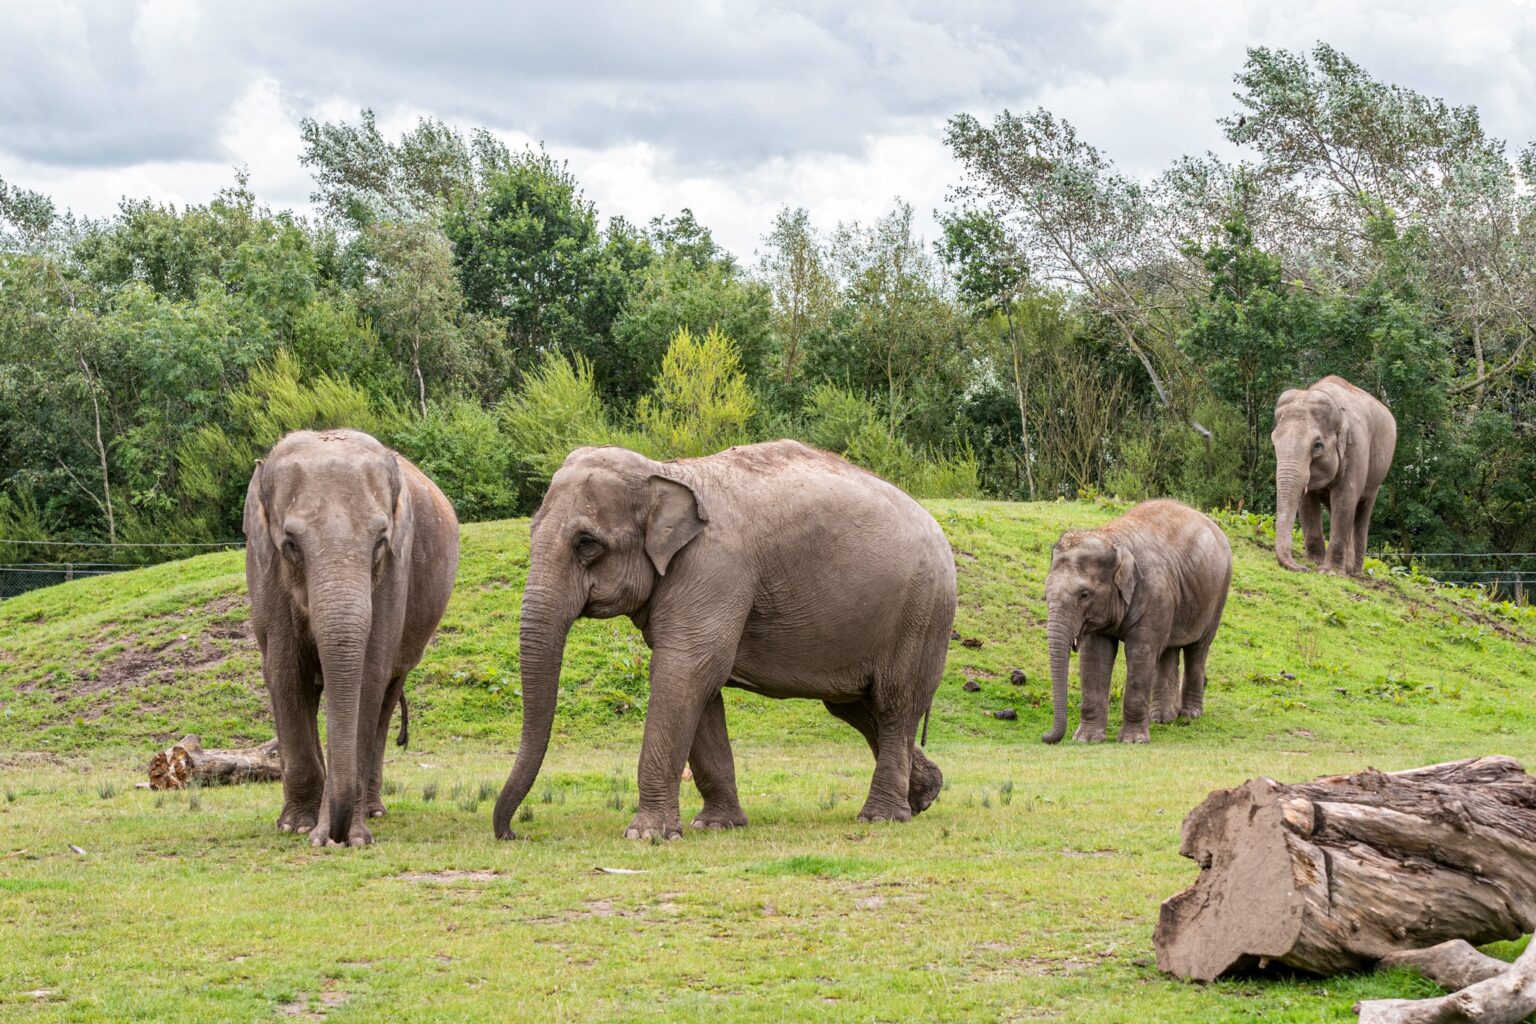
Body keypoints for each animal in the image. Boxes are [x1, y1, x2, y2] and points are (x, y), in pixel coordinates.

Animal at [244, 429, 459, 847]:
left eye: (379, 541)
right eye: (291, 544)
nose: (337, 835)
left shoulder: (395, 569)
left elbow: (368, 676)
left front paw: (349, 837)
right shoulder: (265, 570)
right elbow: (284, 671)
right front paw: (298, 826)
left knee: (387, 696)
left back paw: (374, 810)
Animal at [493, 440, 957, 841]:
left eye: (586, 543)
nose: (514, 834)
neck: (666, 471)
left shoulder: (713, 568)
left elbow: (685, 671)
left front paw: (646, 836)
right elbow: (699, 688)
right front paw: (717, 826)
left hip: (921, 615)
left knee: (894, 704)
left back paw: (882, 817)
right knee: (856, 707)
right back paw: (925, 795)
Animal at [1041, 499, 1232, 745]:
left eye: (1084, 594)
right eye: (1045, 594)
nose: (1045, 737)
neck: (1112, 537)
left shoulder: (1153, 591)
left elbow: (1141, 652)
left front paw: (1133, 741)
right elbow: (1095, 657)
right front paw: (1087, 739)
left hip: (1217, 594)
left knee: (1197, 648)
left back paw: (1189, 714)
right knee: (1168, 650)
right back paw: (1161, 718)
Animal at [1272, 375, 1396, 575]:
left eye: (1317, 445)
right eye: (1274, 441)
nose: (1303, 568)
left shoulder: (1357, 449)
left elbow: (1346, 498)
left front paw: (1329, 572)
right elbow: (1307, 502)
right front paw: (1315, 562)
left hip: (1377, 478)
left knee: (1362, 511)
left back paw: (1354, 570)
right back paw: (1348, 566)